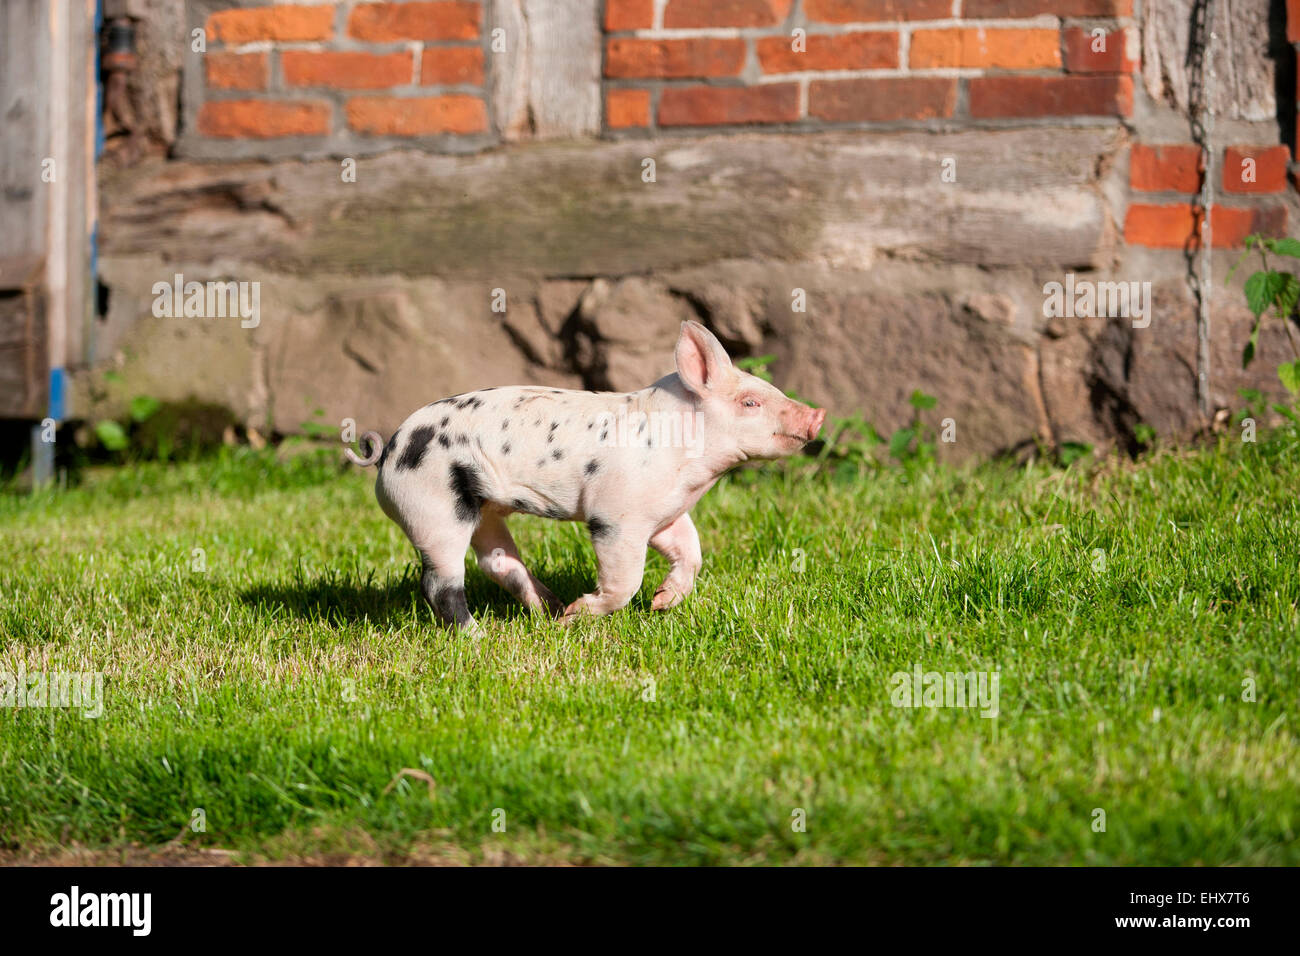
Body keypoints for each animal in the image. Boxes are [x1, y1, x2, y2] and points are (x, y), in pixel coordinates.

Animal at [347, 321, 826, 631]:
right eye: (750, 403)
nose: (817, 415)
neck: (693, 466)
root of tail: (389, 450)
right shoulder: (615, 516)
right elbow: (625, 580)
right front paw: (579, 615)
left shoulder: (665, 512)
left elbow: (691, 551)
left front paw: (662, 604)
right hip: (435, 507)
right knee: (440, 583)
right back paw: (481, 636)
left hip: (482, 510)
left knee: (495, 560)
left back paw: (547, 610)